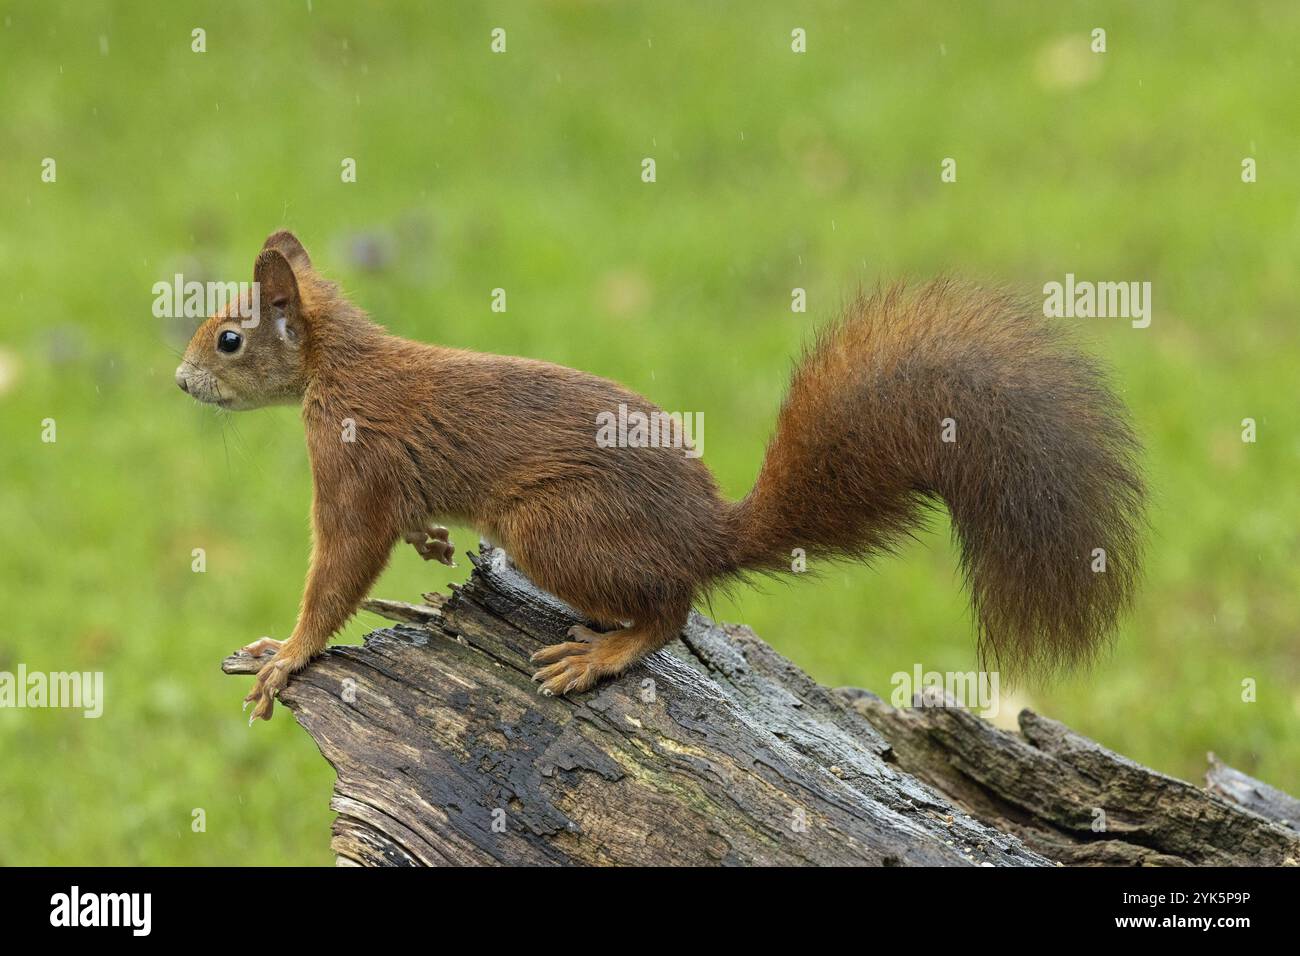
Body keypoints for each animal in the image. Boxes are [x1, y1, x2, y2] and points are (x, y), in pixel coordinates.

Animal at [177, 231, 1145, 721]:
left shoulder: (352, 462)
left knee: (673, 610)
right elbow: (400, 528)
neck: (337, 365)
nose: (181, 383)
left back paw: (602, 653)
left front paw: (285, 655)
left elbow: (340, 568)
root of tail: (708, 533)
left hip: (554, 528)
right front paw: (433, 541)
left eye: (228, 339)